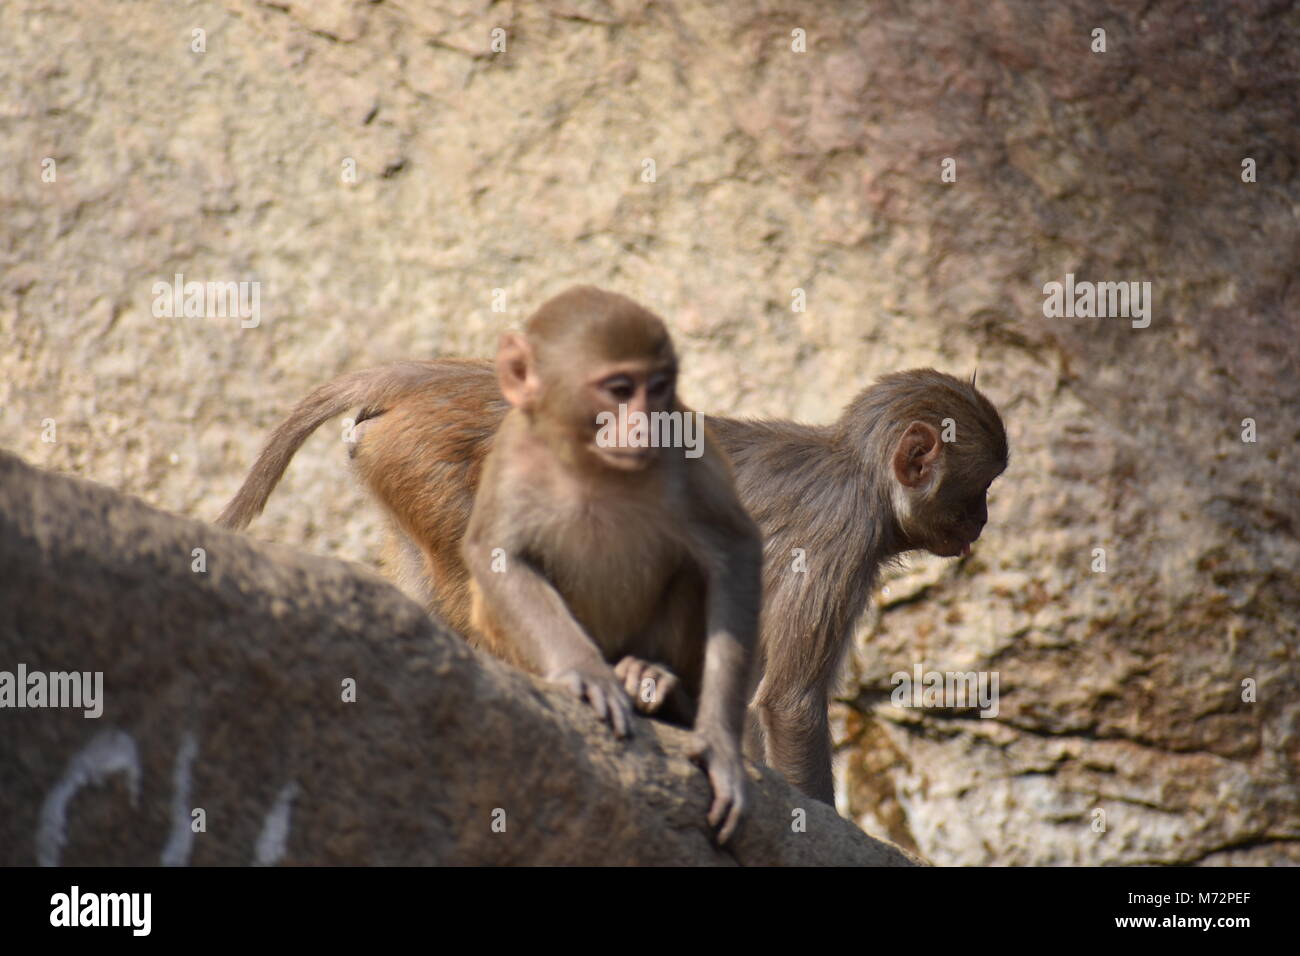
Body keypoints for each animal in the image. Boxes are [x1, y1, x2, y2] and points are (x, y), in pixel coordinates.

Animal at [219, 307, 1008, 807]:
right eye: (981, 488)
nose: (984, 520)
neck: (858, 470)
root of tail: (431, 379)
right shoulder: (841, 536)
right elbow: (786, 702)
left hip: (398, 464)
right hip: (435, 465)